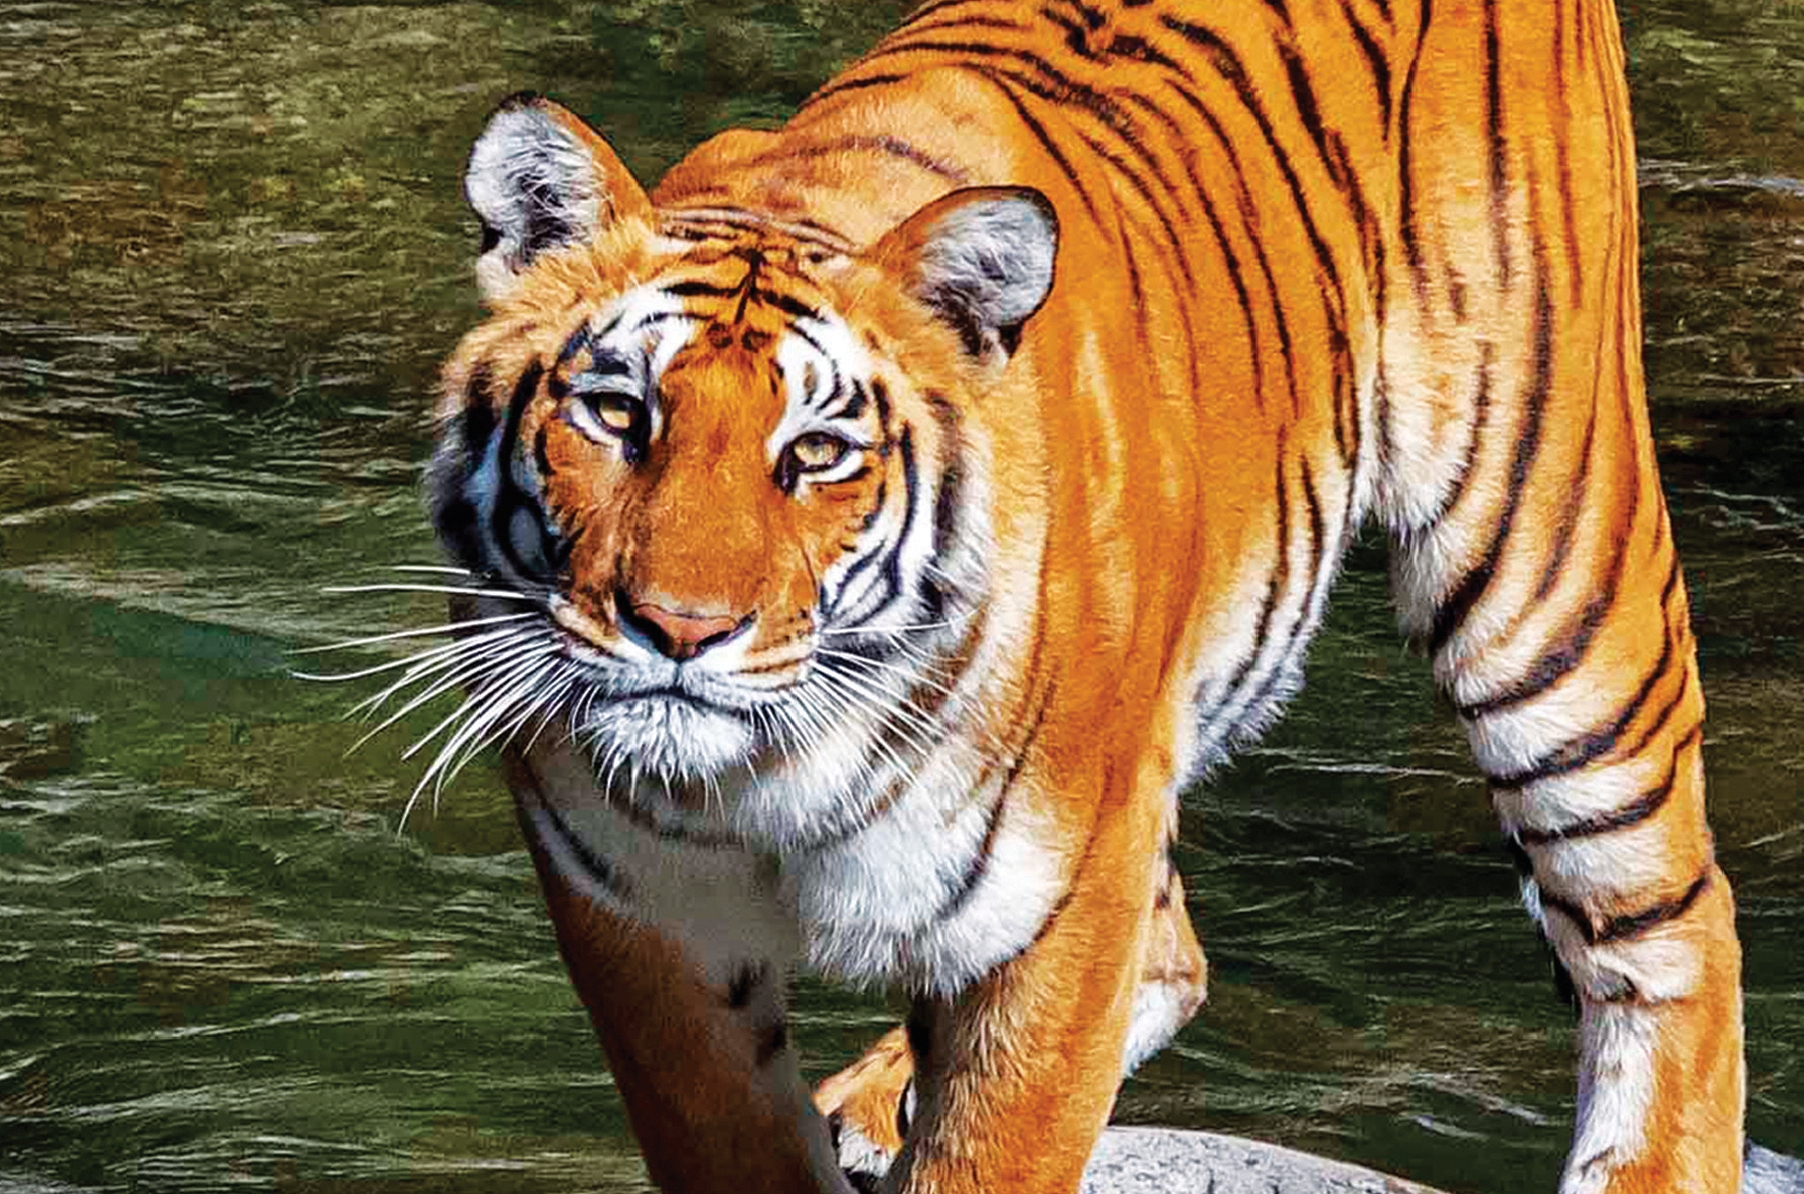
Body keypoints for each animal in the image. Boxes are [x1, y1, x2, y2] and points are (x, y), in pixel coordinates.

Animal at [424, 0, 1746, 1190]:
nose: (681, 631)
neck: (770, 773)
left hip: (1546, 567)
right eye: (617, 414)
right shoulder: (641, 918)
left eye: (816, 454)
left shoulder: (1059, 910)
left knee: (1670, 927)